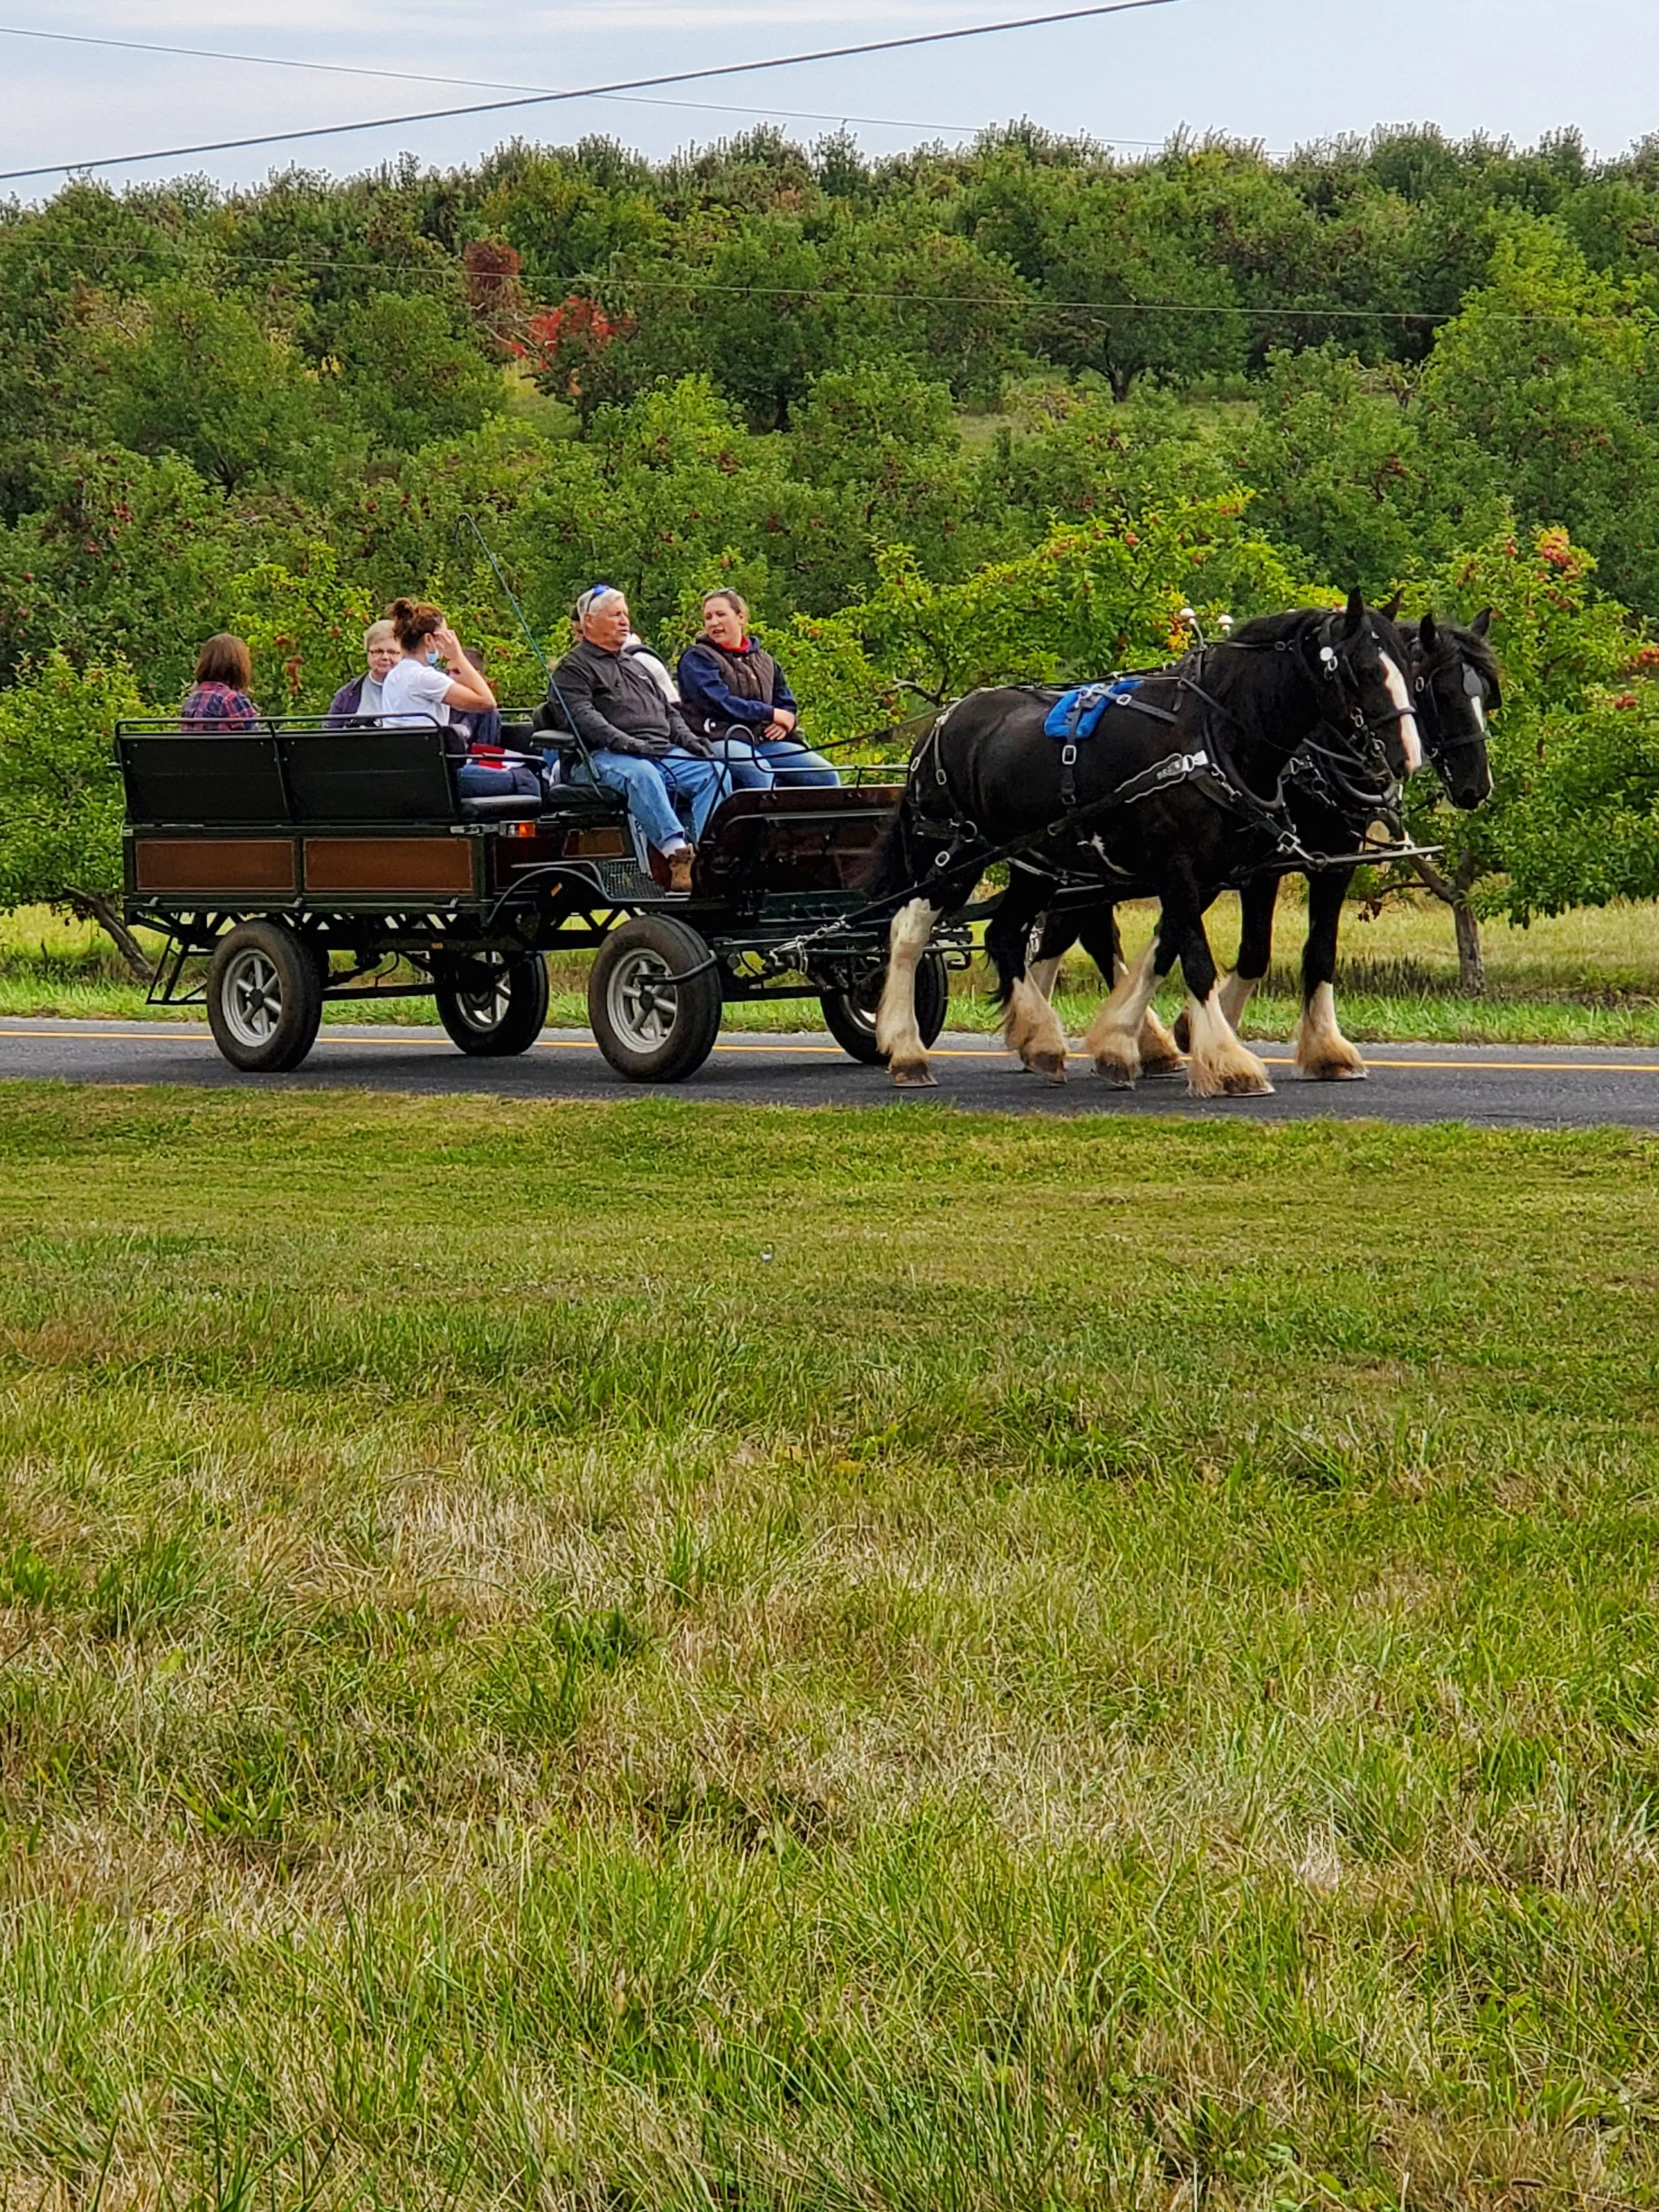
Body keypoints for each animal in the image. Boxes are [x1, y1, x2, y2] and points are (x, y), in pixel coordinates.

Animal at [866, 592, 1421, 1096]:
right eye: (1364, 669)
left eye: (1409, 667)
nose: (1406, 756)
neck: (1211, 736)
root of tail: (939, 725)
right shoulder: (1184, 868)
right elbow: (1195, 957)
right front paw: (1226, 1062)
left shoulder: (1226, 872)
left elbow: (1172, 945)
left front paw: (1128, 1044)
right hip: (953, 856)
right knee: (910, 931)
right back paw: (907, 1051)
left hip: (1035, 862)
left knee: (1006, 934)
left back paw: (1042, 1041)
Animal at [1020, 610, 1498, 1083]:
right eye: (1440, 690)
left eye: (1486, 696)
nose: (1476, 787)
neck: (1311, 759)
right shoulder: (1257, 868)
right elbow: (1238, 950)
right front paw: (1200, 1034)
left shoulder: (1333, 863)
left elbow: (1318, 951)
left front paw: (1325, 1049)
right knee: (1083, 929)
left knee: (1074, 928)